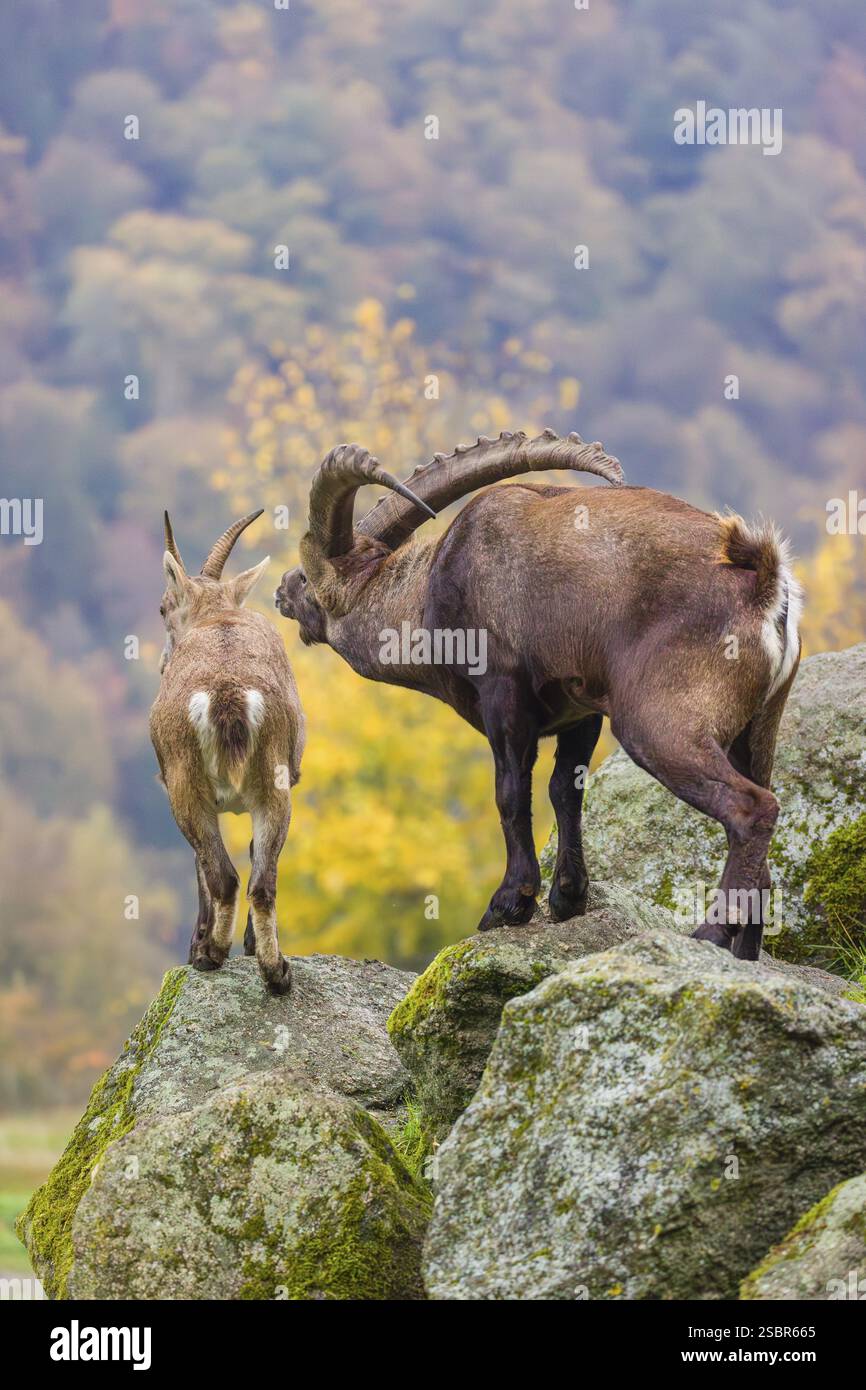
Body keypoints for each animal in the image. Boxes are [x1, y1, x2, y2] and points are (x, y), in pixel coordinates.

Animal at [152, 511, 304, 993]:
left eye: (163, 608)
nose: (162, 663)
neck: (218, 617)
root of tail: (228, 692)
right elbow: (257, 853)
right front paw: (252, 947)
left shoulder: (174, 786)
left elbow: (201, 868)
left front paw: (196, 944)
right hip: (275, 784)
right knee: (262, 881)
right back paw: (276, 972)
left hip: (186, 783)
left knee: (224, 877)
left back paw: (210, 954)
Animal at [275, 429, 802, 961]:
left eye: (307, 576)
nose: (281, 590)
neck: (429, 591)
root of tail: (763, 585)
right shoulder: (581, 711)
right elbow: (564, 789)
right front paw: (568, 897)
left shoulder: (503, 693)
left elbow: (511, 791)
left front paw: (510, 903)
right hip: (755, 730)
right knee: (763, 852)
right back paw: (745, 953)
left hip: (659, 724)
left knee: (753, 809)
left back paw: (710, 934)